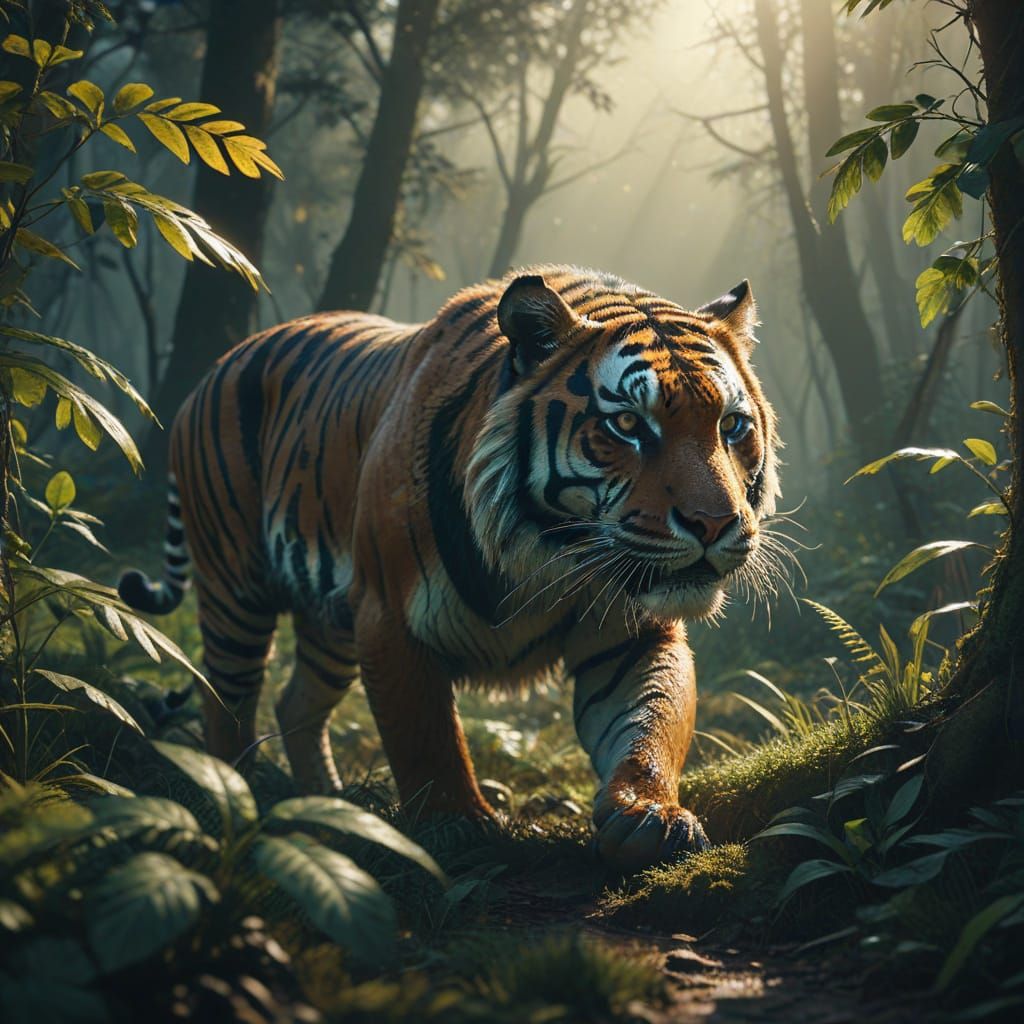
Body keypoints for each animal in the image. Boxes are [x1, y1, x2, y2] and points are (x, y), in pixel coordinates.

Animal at [119, 266, 780, 872]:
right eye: (626, 425)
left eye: (731, 426)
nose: (714, 524)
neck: (548, 554)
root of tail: (214, 368)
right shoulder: (388, 616)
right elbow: (425, 735)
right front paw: (456, 826)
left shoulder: (631, 636)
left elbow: (650, 723)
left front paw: (648, 817)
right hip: (235, 591)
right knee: (226, 700)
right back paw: (230, 792)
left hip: (329, 625)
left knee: (295, 703)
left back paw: (329, 801)